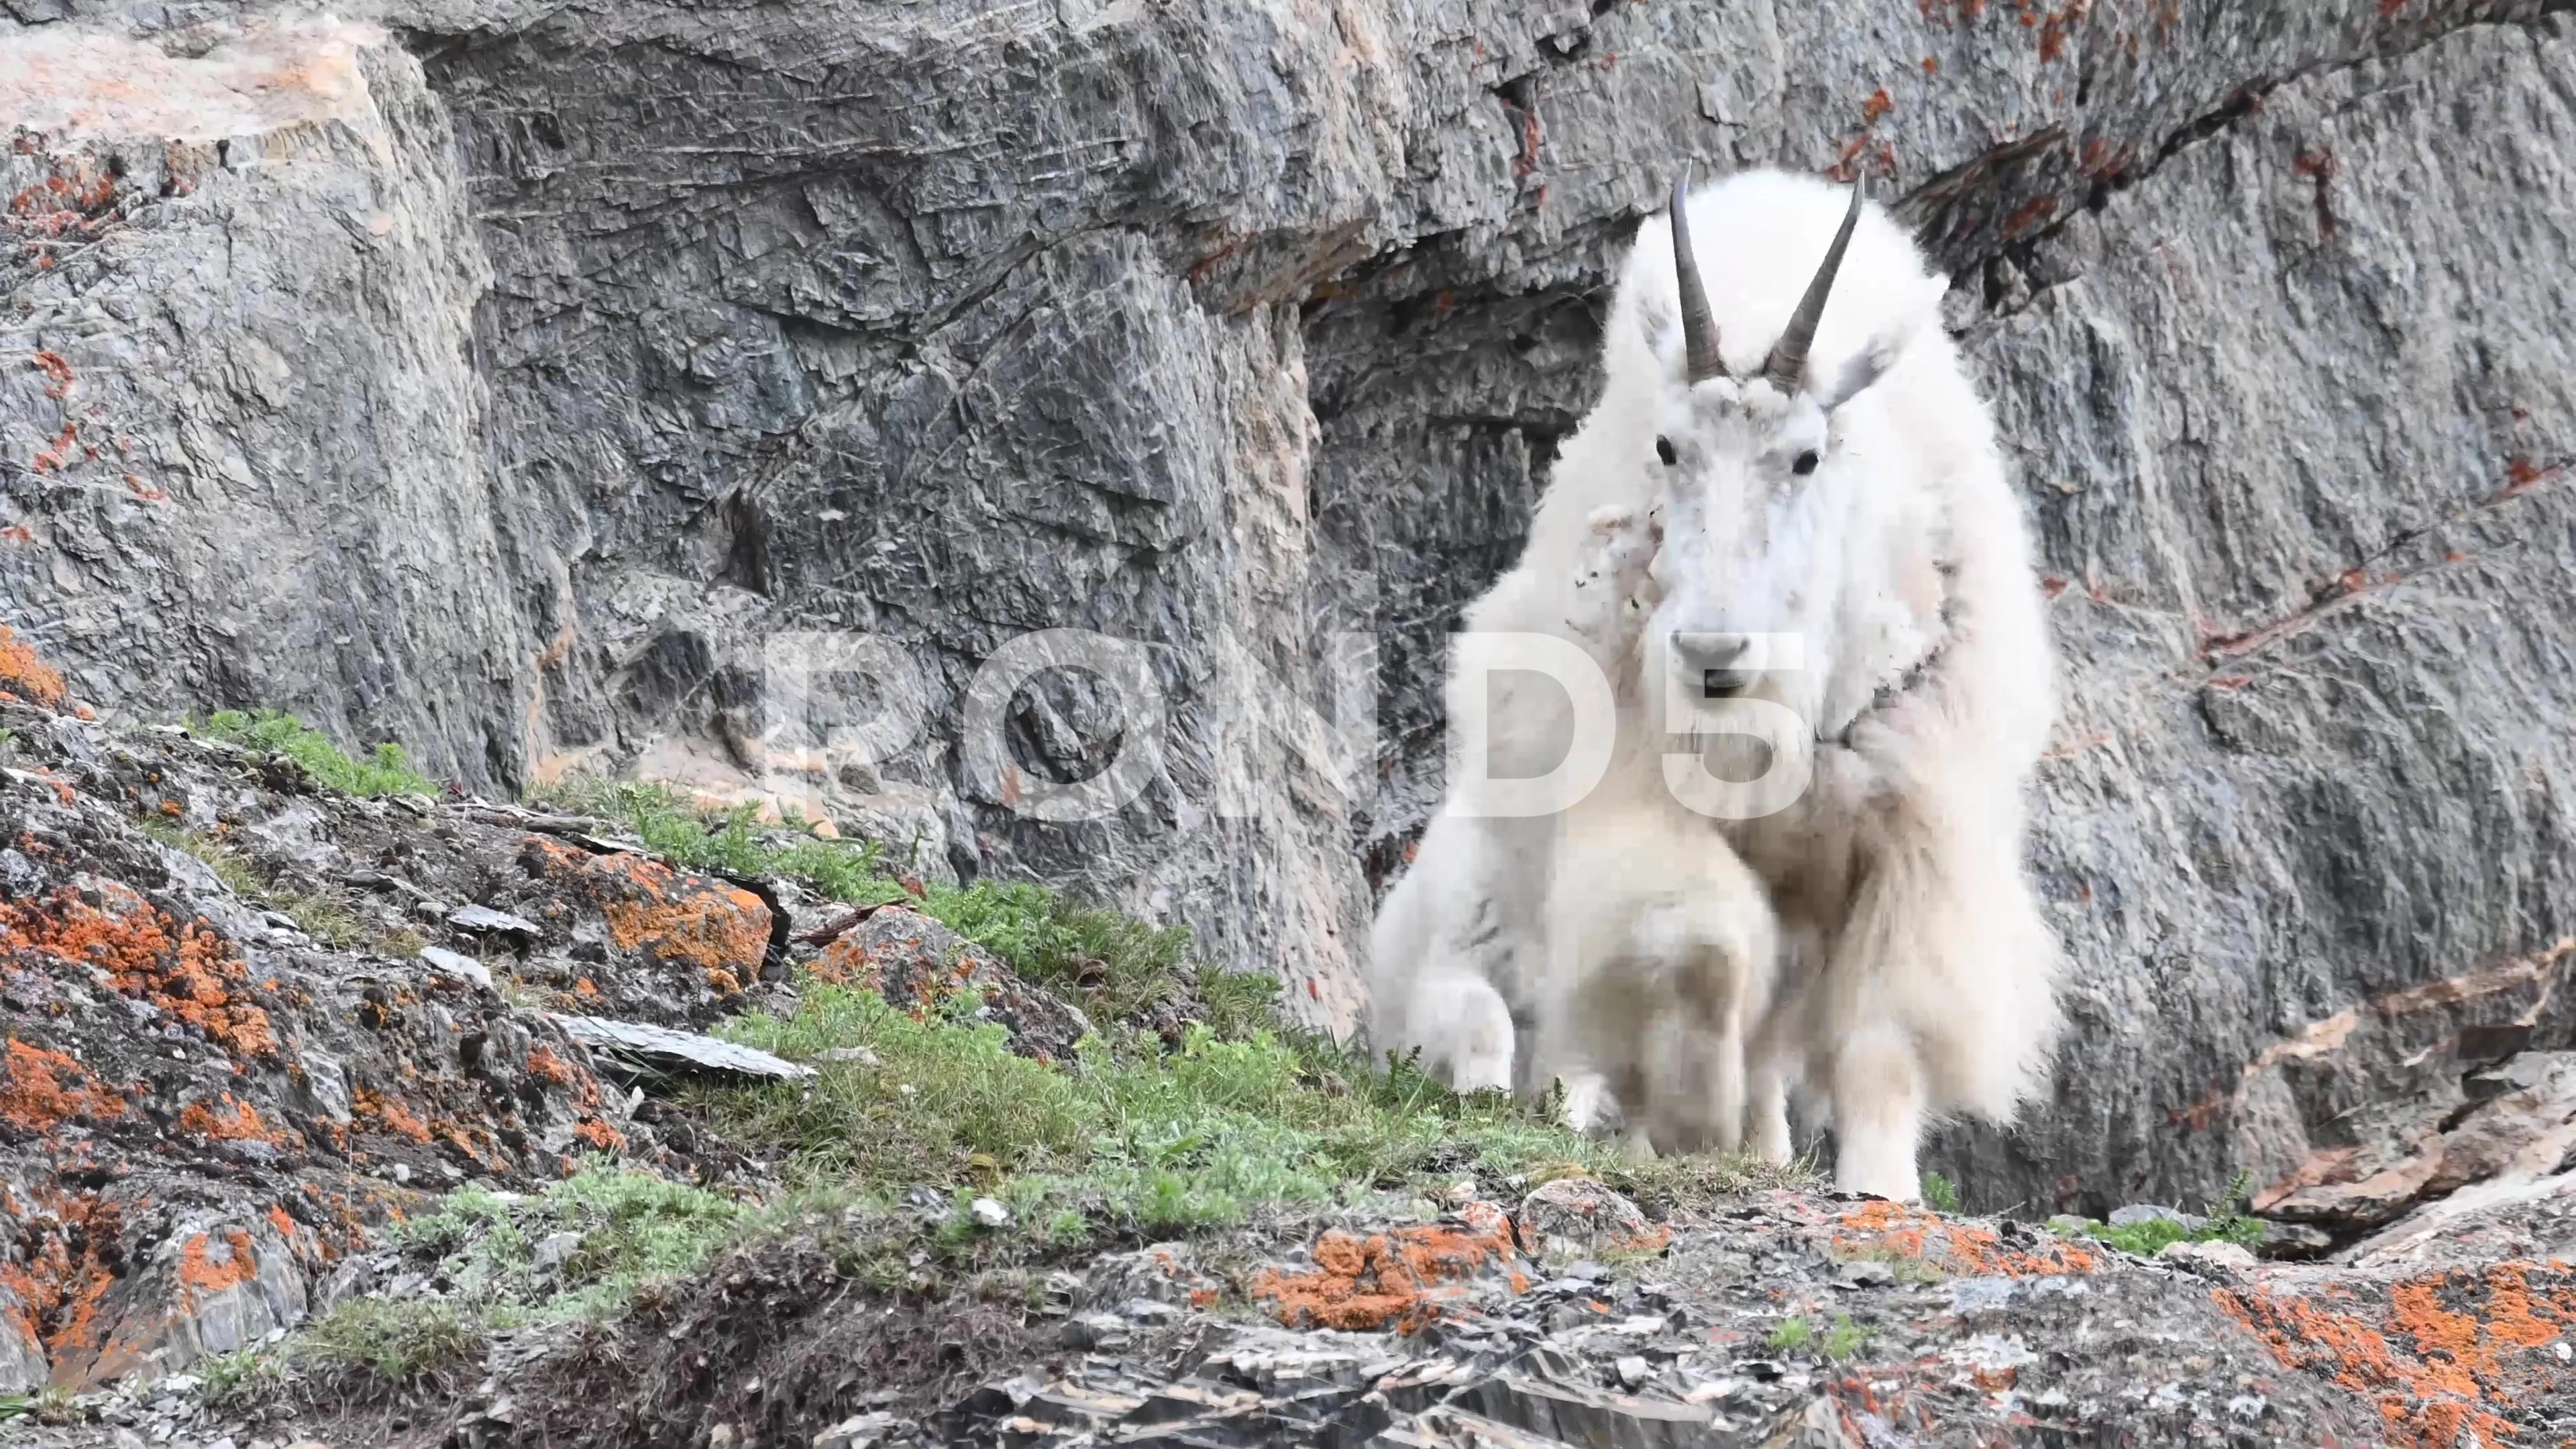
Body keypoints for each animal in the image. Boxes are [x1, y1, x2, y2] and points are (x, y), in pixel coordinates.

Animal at [1367, 168, 2062, 1201]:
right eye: (1668, 448)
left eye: (1807, 456)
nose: (1710, 652)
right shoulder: (1646, 789)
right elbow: (1699, 947)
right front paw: (1692, 1120)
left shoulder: (1912, 819)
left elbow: (1883, 1042)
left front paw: (1882, 1188)